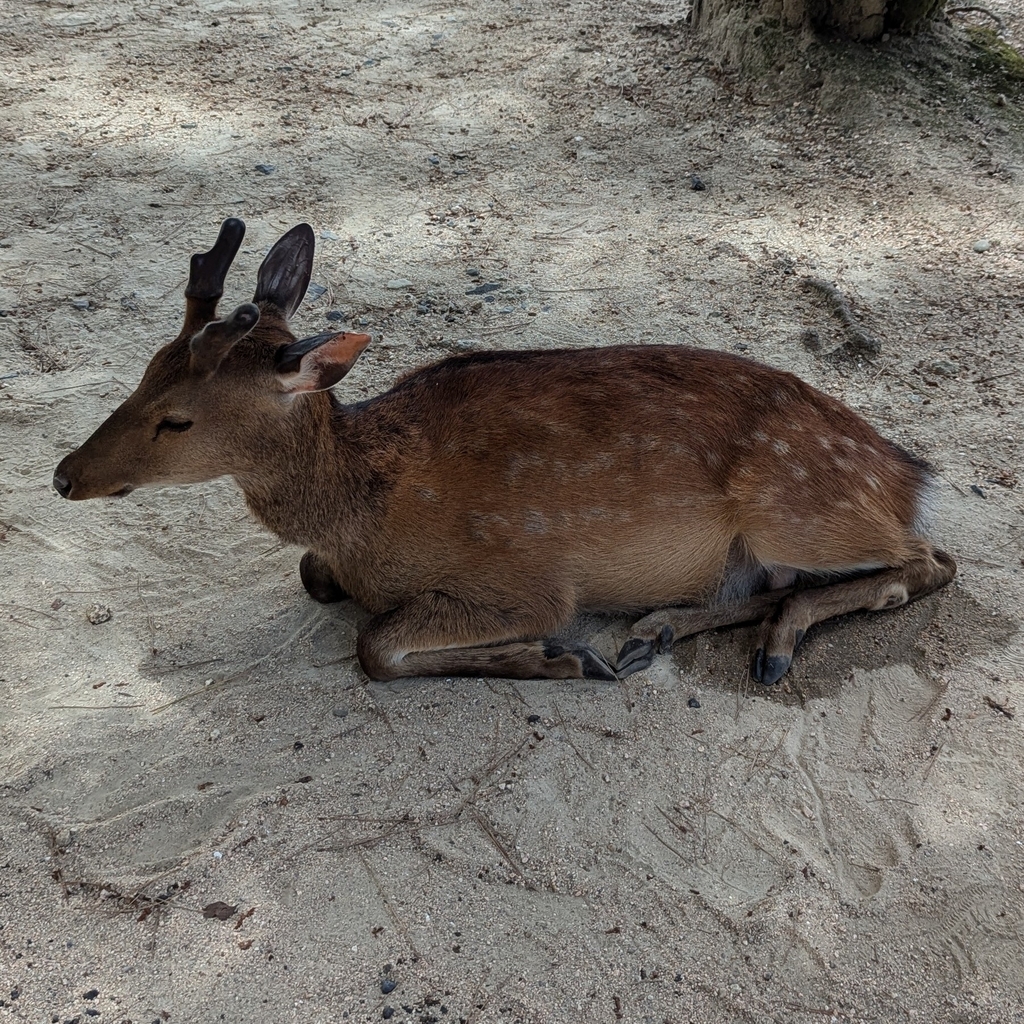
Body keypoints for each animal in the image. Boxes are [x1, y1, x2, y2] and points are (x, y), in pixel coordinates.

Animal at [53, 219, 957, 685]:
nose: (64, 475)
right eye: (146, 369)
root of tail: (904, 471)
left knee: (928, 561)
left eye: (177, 421)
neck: (367, 510)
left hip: (798, 505)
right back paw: (658, 629)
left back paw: (767, 645)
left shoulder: (524, 579)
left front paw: (558, 656)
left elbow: (376, 645)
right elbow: (317, 581)